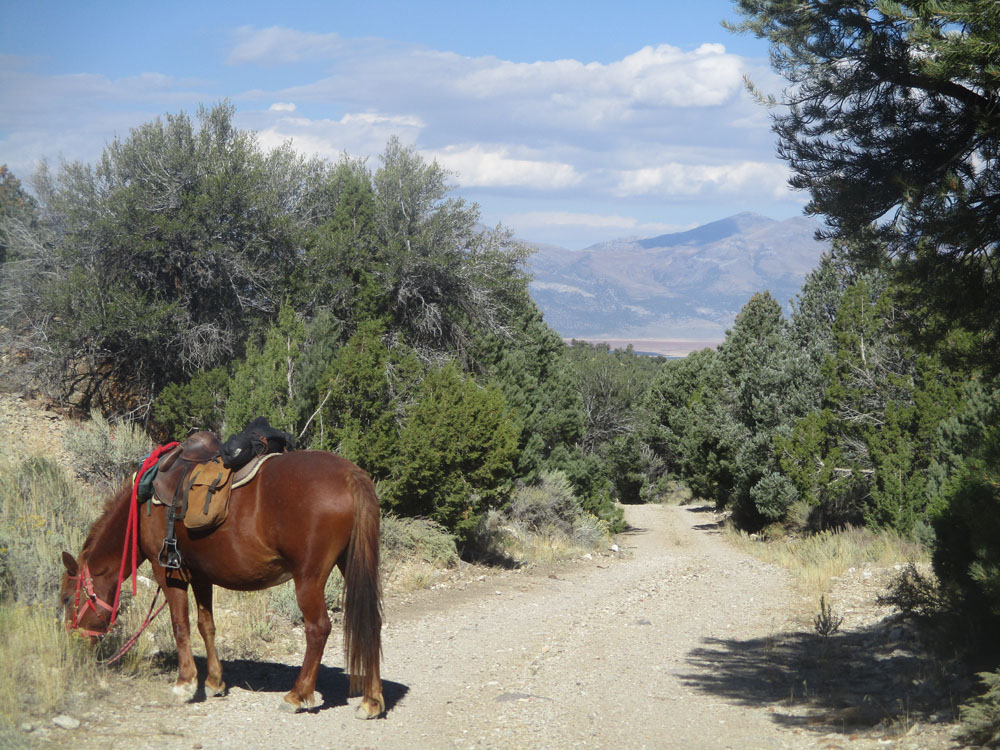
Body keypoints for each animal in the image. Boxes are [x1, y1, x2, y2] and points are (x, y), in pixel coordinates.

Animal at [59, 432, 384, 718]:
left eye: (65, 598)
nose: (72, 645)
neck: (143, 507)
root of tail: (350, 474)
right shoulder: (201, 574)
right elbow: (206, 625)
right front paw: (214, 681)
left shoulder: (165, 570)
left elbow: (180, 625)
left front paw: (185, 684)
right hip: (350, 562)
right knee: (372, 622)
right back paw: (371, 701)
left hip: (308, 576)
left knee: (318, 629)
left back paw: (297, 695)